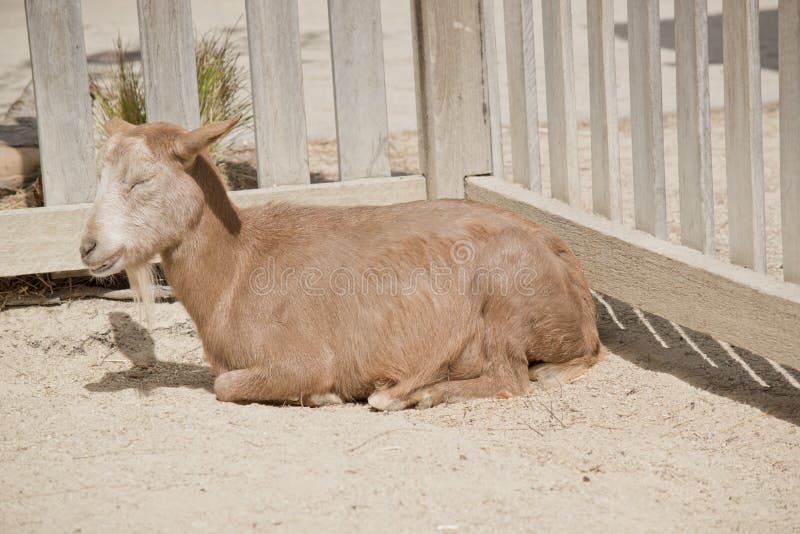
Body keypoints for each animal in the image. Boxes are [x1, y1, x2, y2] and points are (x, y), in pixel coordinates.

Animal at [80, 117, 604, 410]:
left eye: (142, 180)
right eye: (99, 175)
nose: (87, 246)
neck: (237, 267)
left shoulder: (305, 358)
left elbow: (226, 385)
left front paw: (323, 395)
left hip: (505, 303)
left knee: (510, 378)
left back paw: (411, 395)